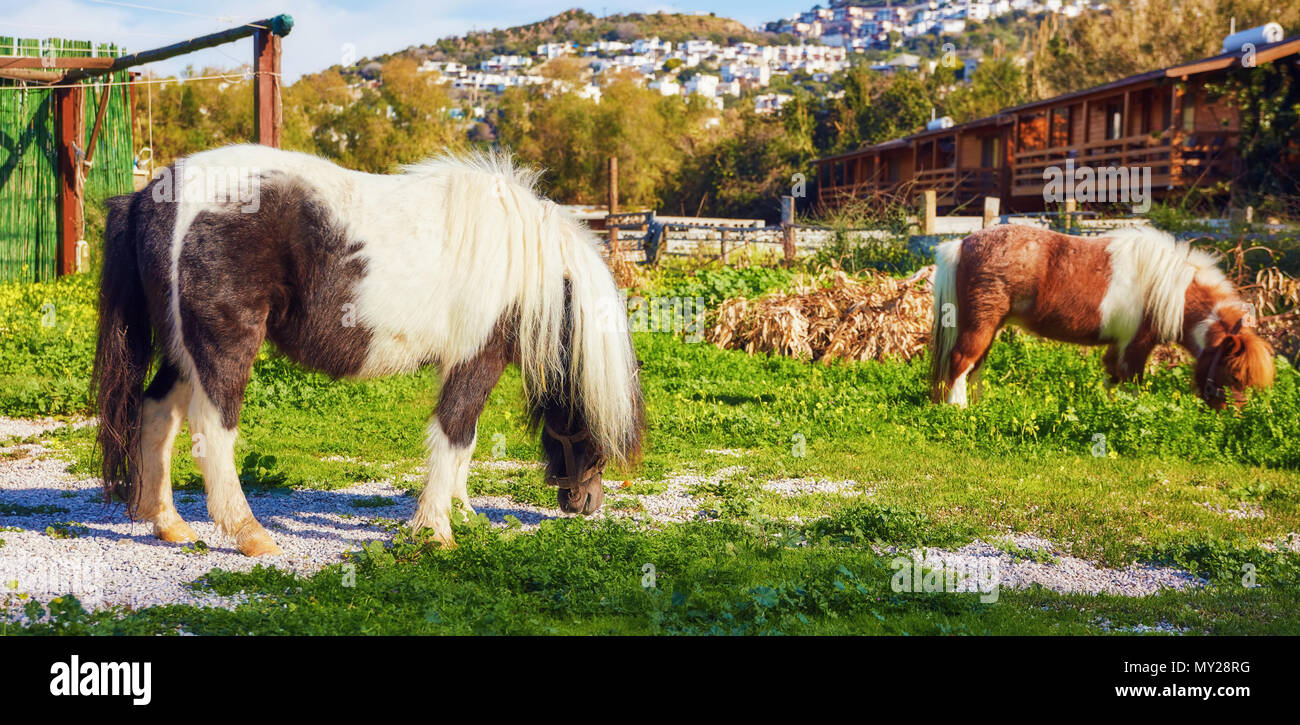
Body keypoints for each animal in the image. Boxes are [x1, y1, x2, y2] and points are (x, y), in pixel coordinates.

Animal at [93, 144, 644, 557]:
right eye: (593, 420)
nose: (587, 502)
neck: (517, 258)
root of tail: (149, 196)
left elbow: (464, 442)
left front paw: (463, 513)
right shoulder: (476, 360)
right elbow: (455, 435)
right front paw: (437, 530)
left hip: (182, 351)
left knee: (157, 414)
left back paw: (170, 524)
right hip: (223, 348)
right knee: (214, 432)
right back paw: (250, 534)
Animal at [930, 224, 1275, 408]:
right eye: (1234, 375)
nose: (1233, 414)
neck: (1166, 287)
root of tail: (961, 244)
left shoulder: (1118, 347)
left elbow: (1112, 381)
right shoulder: (1136, 346)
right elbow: (1131, 383)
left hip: (990, 329)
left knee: (973, 366)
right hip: (980, 326)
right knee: (961, 361)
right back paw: (959, 409)